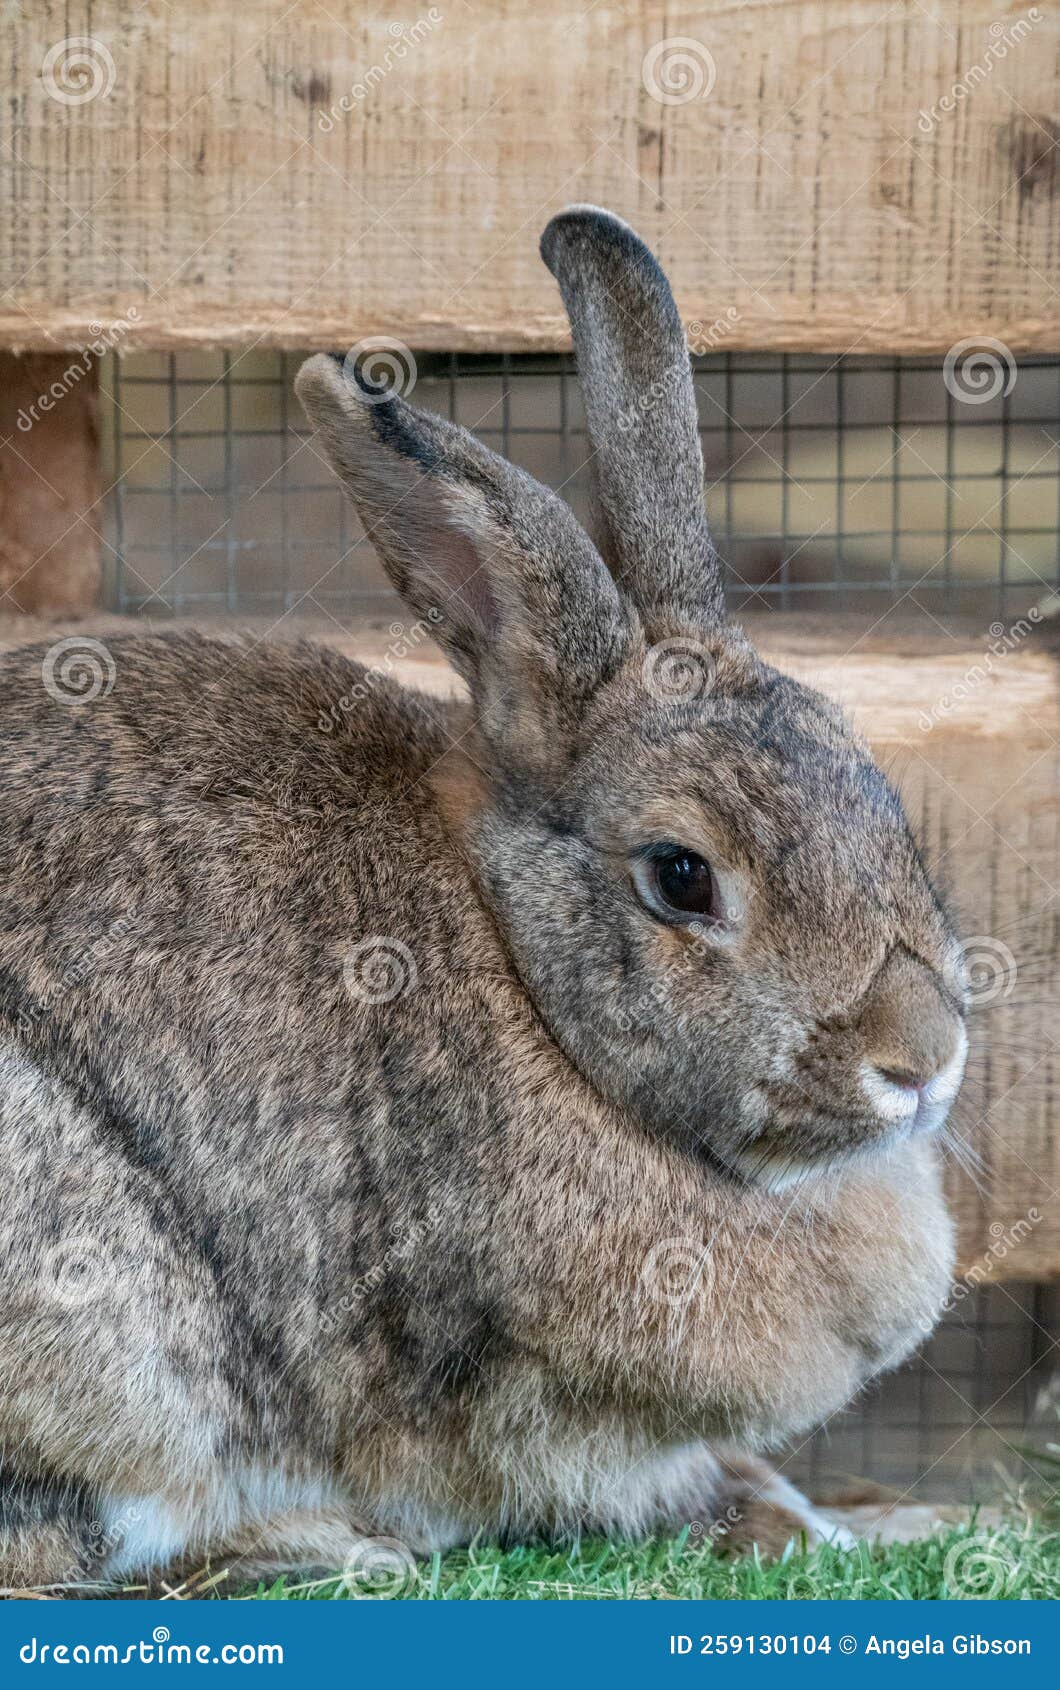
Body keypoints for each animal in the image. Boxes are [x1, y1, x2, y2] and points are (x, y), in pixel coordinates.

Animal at [0, 206, 966, 1592]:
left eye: (879, 796)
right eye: (681, 875)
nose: (925, 1060)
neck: (527, 978)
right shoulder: (535, 1415)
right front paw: (815, 1523)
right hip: (99, 1317)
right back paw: (322, 1545)